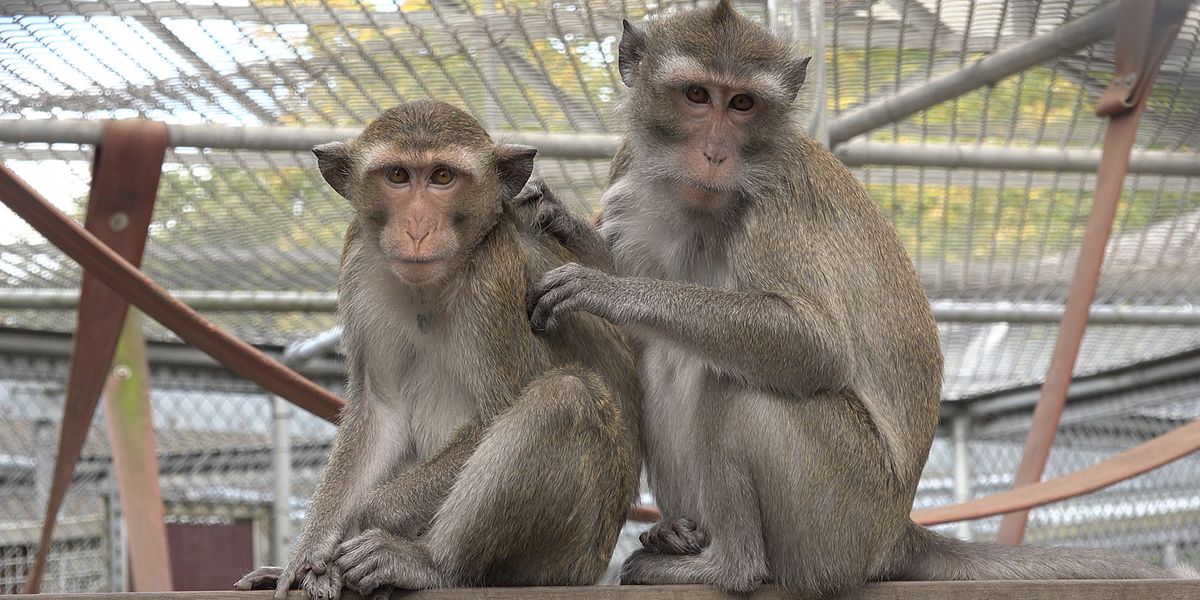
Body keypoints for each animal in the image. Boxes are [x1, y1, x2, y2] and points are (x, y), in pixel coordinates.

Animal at [233, 99, 642, 600]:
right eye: (397, 176)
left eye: (443, 177)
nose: (417, 228)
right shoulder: (361, 264)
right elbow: (379, 410)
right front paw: (308, 554)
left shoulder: (493, 276)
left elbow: (497, 410)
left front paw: (369, 516)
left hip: (572, 555)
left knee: (565, 395)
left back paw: (430, 563)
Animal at [526, 1, 1173, 595]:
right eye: (696, 95)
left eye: (742, 104)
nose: (715, 154)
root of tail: (895, 533)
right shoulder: (627, 163)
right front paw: (566, 227)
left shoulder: (776, 202)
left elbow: (813, 343)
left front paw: (605, 289)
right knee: (665, 356)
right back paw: (681, 536)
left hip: (843, 514)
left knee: (737, 380)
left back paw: (728, 566)